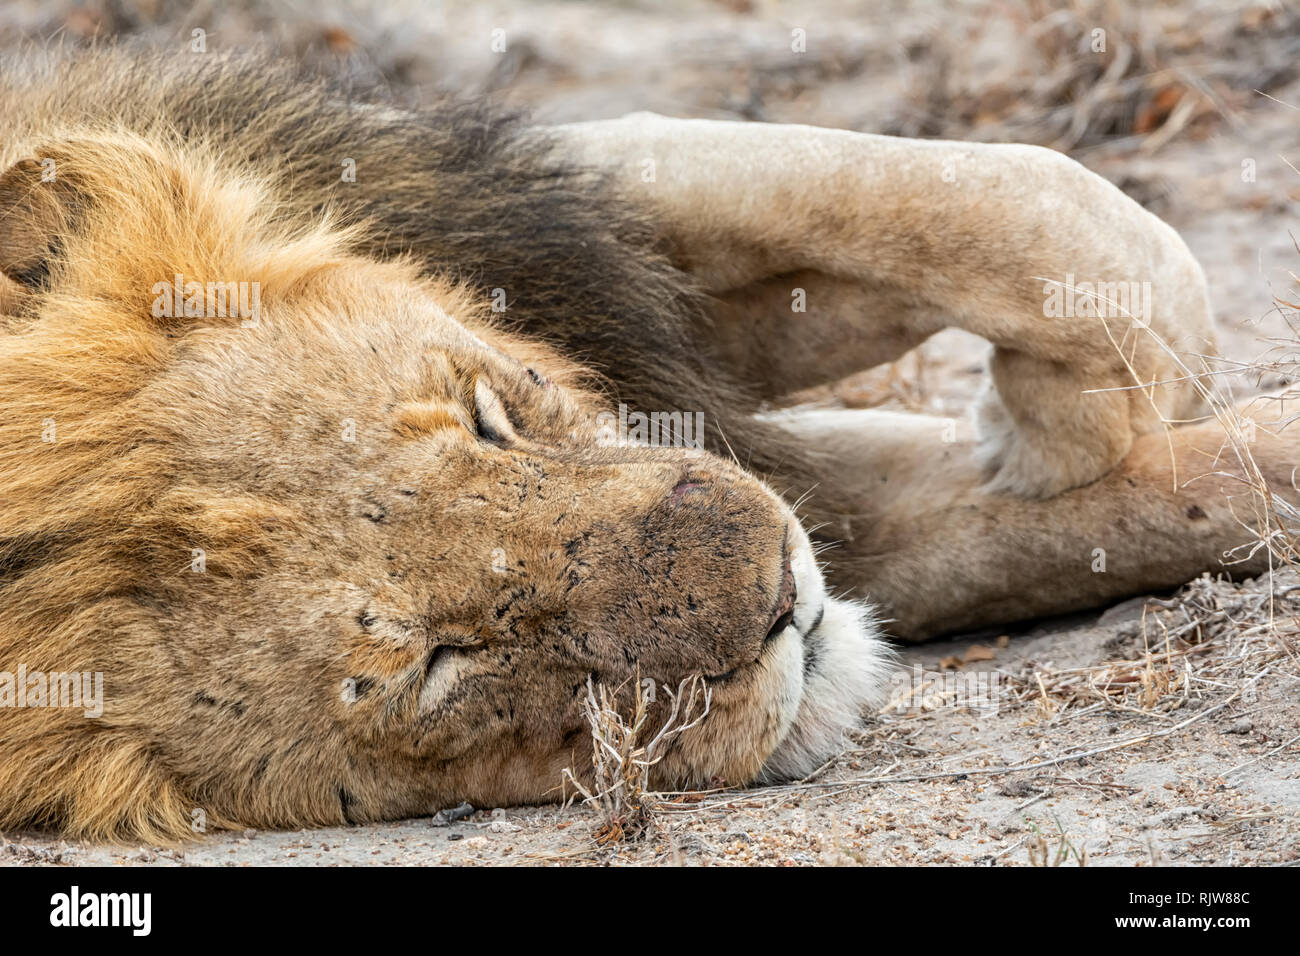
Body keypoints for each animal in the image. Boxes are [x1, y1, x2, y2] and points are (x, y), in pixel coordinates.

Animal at [0, 46, 1293, 842]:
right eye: (439, 663)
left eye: (486, 414)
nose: (772, 588)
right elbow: (1008, 532)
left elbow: (980, 195)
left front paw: (1088, 396)